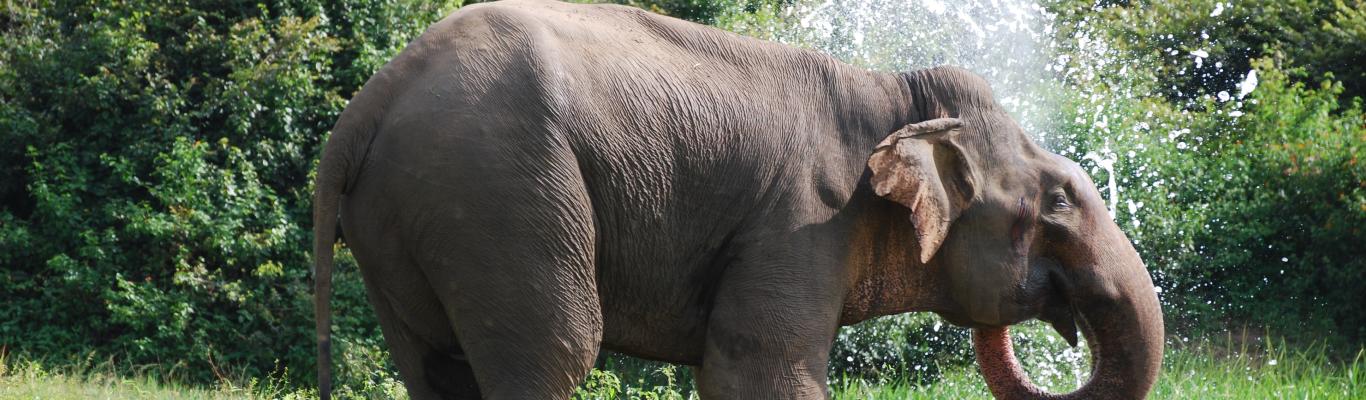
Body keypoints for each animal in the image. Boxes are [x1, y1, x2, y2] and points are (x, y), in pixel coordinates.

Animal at [311, 0, 1164, 399]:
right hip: (499, 190)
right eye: (1058, 203)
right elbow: (757, 373)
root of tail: (363, 108)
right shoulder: (799, 220)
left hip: (409, 216)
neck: (893, 96)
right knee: (555, 351)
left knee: (437, 367)